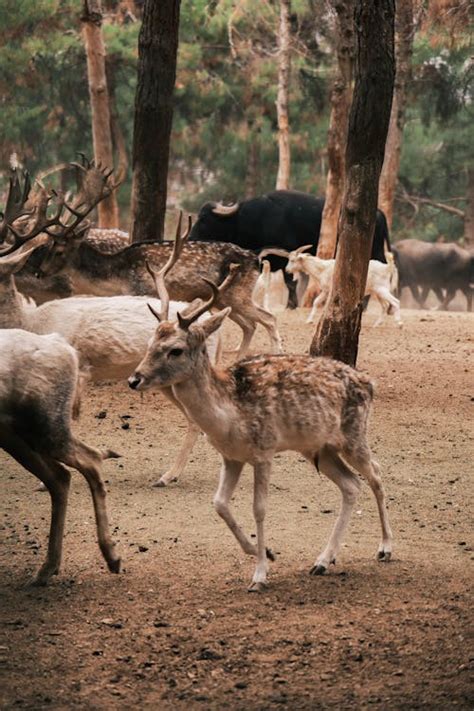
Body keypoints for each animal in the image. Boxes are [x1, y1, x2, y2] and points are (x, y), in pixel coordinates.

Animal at [0, 328, 121, 585]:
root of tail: (64, 347)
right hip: (15, 435)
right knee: (60, 476)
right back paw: (47, 569)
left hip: (45, 425)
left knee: (89, 459)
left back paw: (112, 557)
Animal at [128, 269, 393, 592]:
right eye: (150, 343)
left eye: (175, 350)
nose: (134, 380)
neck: (229, 416)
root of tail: (370, 384)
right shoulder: (231, 457)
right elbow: (219, 503)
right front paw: (265, 551)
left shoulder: (264, 451)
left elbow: (259, 508)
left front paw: (259, 575)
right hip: (319, 448)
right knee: (351, 485)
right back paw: (322, 561)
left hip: (354, 434)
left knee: (376, 474)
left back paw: (384, 548)